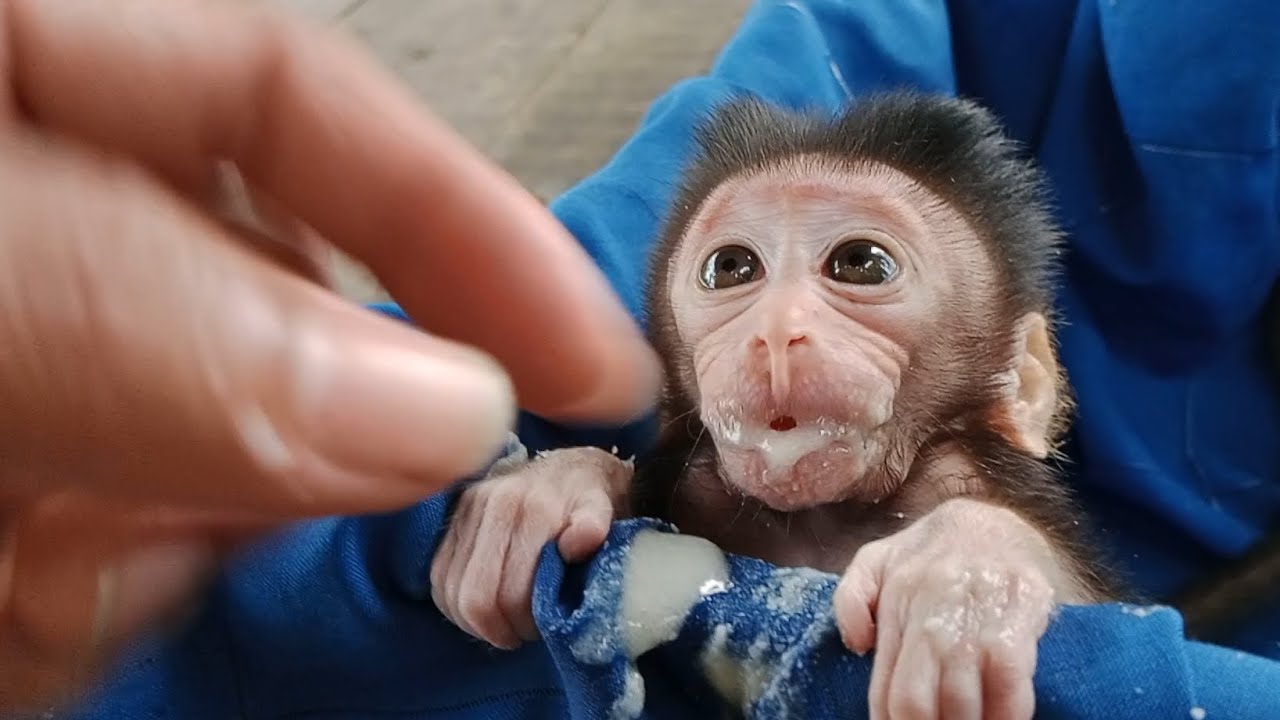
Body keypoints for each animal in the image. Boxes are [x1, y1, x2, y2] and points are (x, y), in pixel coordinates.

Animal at [429, 91, 1129, 720]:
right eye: (731, 267)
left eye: (862, 263)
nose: (774, 330)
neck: (822, 521)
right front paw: (551, 488)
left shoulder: (964, 471)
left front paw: (963, 569)